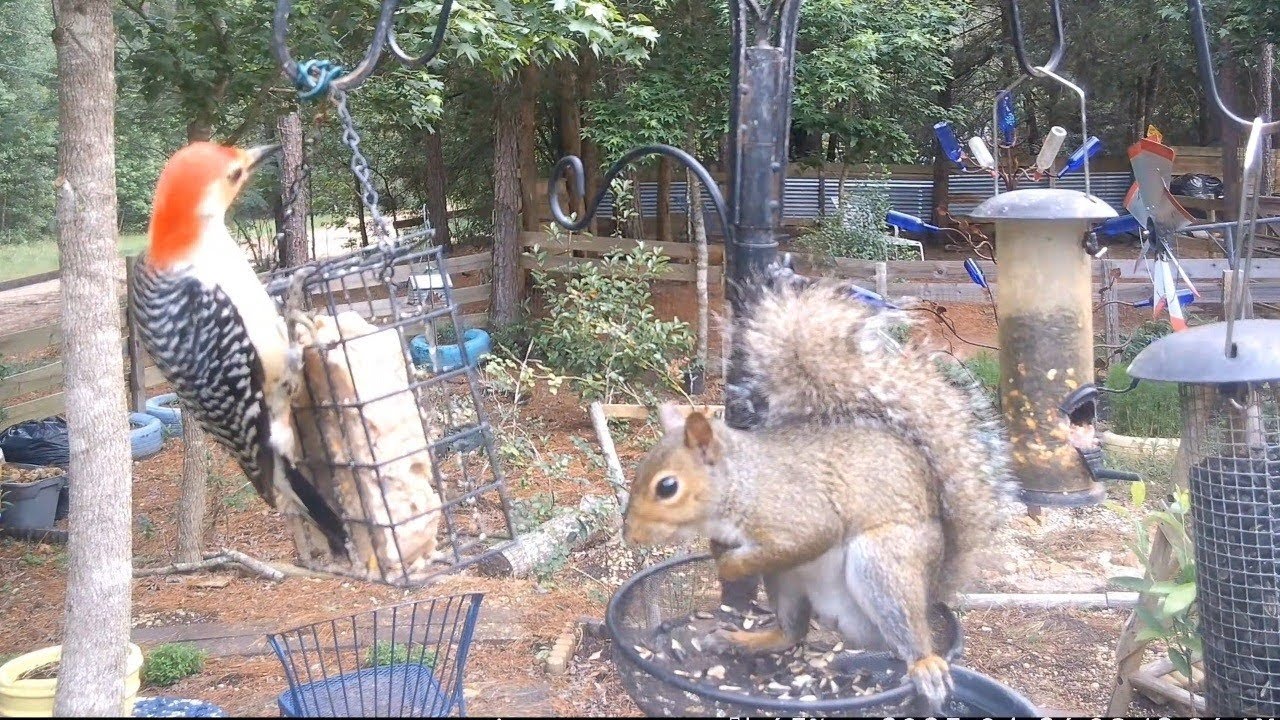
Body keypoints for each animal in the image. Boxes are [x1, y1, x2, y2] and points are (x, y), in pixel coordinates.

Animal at [622, 266, 1020, 713]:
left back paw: (924, 663)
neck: (742, 482)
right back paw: (745, 639)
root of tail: (933, 586)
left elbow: (810, 537)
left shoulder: (799, 513)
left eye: (667, 487)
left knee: (907, 633)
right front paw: (720, 555)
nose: (629, 533)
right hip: (788, 583)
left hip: (885, 565)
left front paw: (730, 566)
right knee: (793, 633)